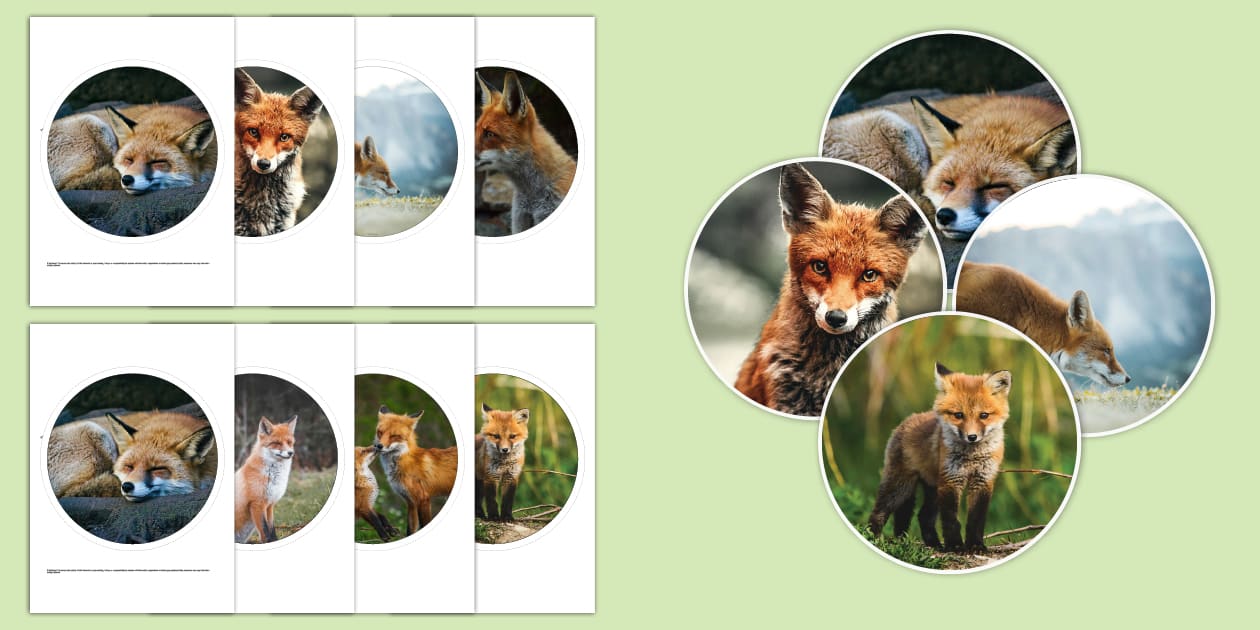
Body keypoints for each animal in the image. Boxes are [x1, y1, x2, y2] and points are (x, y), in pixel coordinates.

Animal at [234, 415, 298, 544]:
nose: (291, 453)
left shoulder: (270, 504)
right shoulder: (257, 504)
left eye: (289, 442)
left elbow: (272, 530)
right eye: (277, 443)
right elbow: (265, 532)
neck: (272, 476)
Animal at [373, 406, 458, 535]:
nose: (378, 446)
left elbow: (424, 525)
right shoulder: (411, 502)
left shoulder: (423, 499)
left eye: (394, 436)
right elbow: (410, 530)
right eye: (380, 432)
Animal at [869, 363, 1011, 552]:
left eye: (984, 415)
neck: (971, 456)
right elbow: (951, 520)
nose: (972, 437)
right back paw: (874, 538)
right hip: (901, 486)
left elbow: (976, 520)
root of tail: (907, 420)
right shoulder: (951, 480)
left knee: (922, 516)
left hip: (932, 489)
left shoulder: (982, 480)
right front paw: (955, 546)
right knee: (879, 511)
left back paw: (933, 544)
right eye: (958, 415)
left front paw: (975, 545)